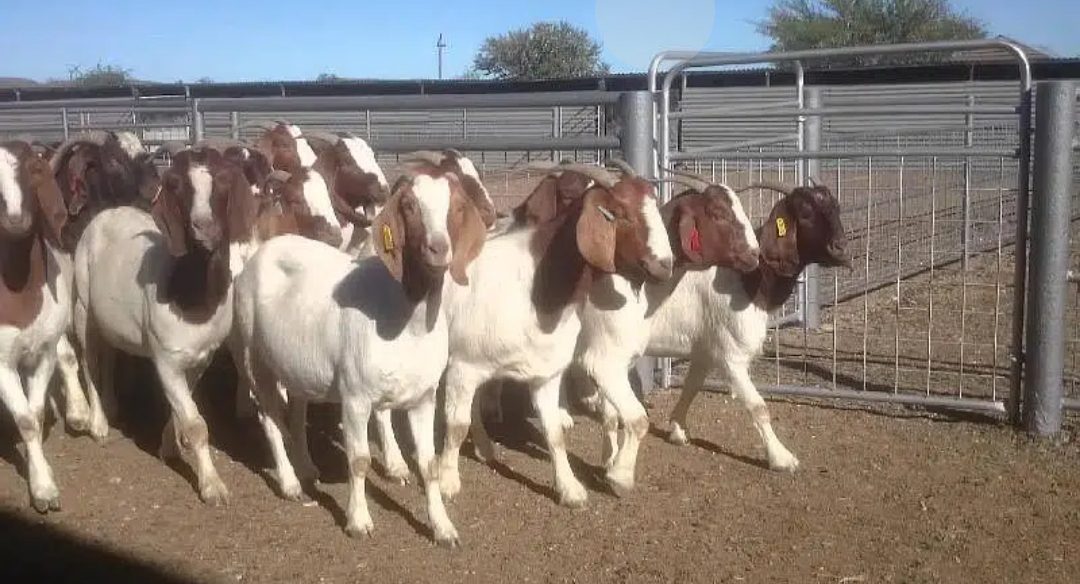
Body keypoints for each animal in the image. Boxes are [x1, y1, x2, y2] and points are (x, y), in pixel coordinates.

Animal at [72, 144, 335, 504]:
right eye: (177, 186)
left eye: (223, 183)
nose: (204, 227)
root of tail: (107, 214)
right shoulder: (178, 358)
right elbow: (208, 422)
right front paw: (217, 485)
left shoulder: (202, 356)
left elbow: (186, 411)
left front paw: (170, 445)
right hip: (83, 306)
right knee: (89, 361)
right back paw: (97, 423)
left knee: (110, 355)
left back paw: (112, 407)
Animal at [232, 162, 487, 545]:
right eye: (409, 206)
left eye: (456, 207)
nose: (438, 248)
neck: (405, 321)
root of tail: (261, 252)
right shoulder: (355, 397)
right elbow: (359, 460)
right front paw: (359, 520)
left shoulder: (424, 398)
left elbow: (428, 465)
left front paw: (442, 527)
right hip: (252, 355)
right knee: (269, 417)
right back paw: (290, 483)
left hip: (299, 363)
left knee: (296, 411)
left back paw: (306, 468)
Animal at [435, 163, 675, 508]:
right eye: (620, 213)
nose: (664, 265)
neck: (535, 284)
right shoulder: (465, 365)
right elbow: (455, 426)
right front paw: (447, 482)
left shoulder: (543, 374)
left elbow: (555, 434)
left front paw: (571, 489)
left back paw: (484, 448)